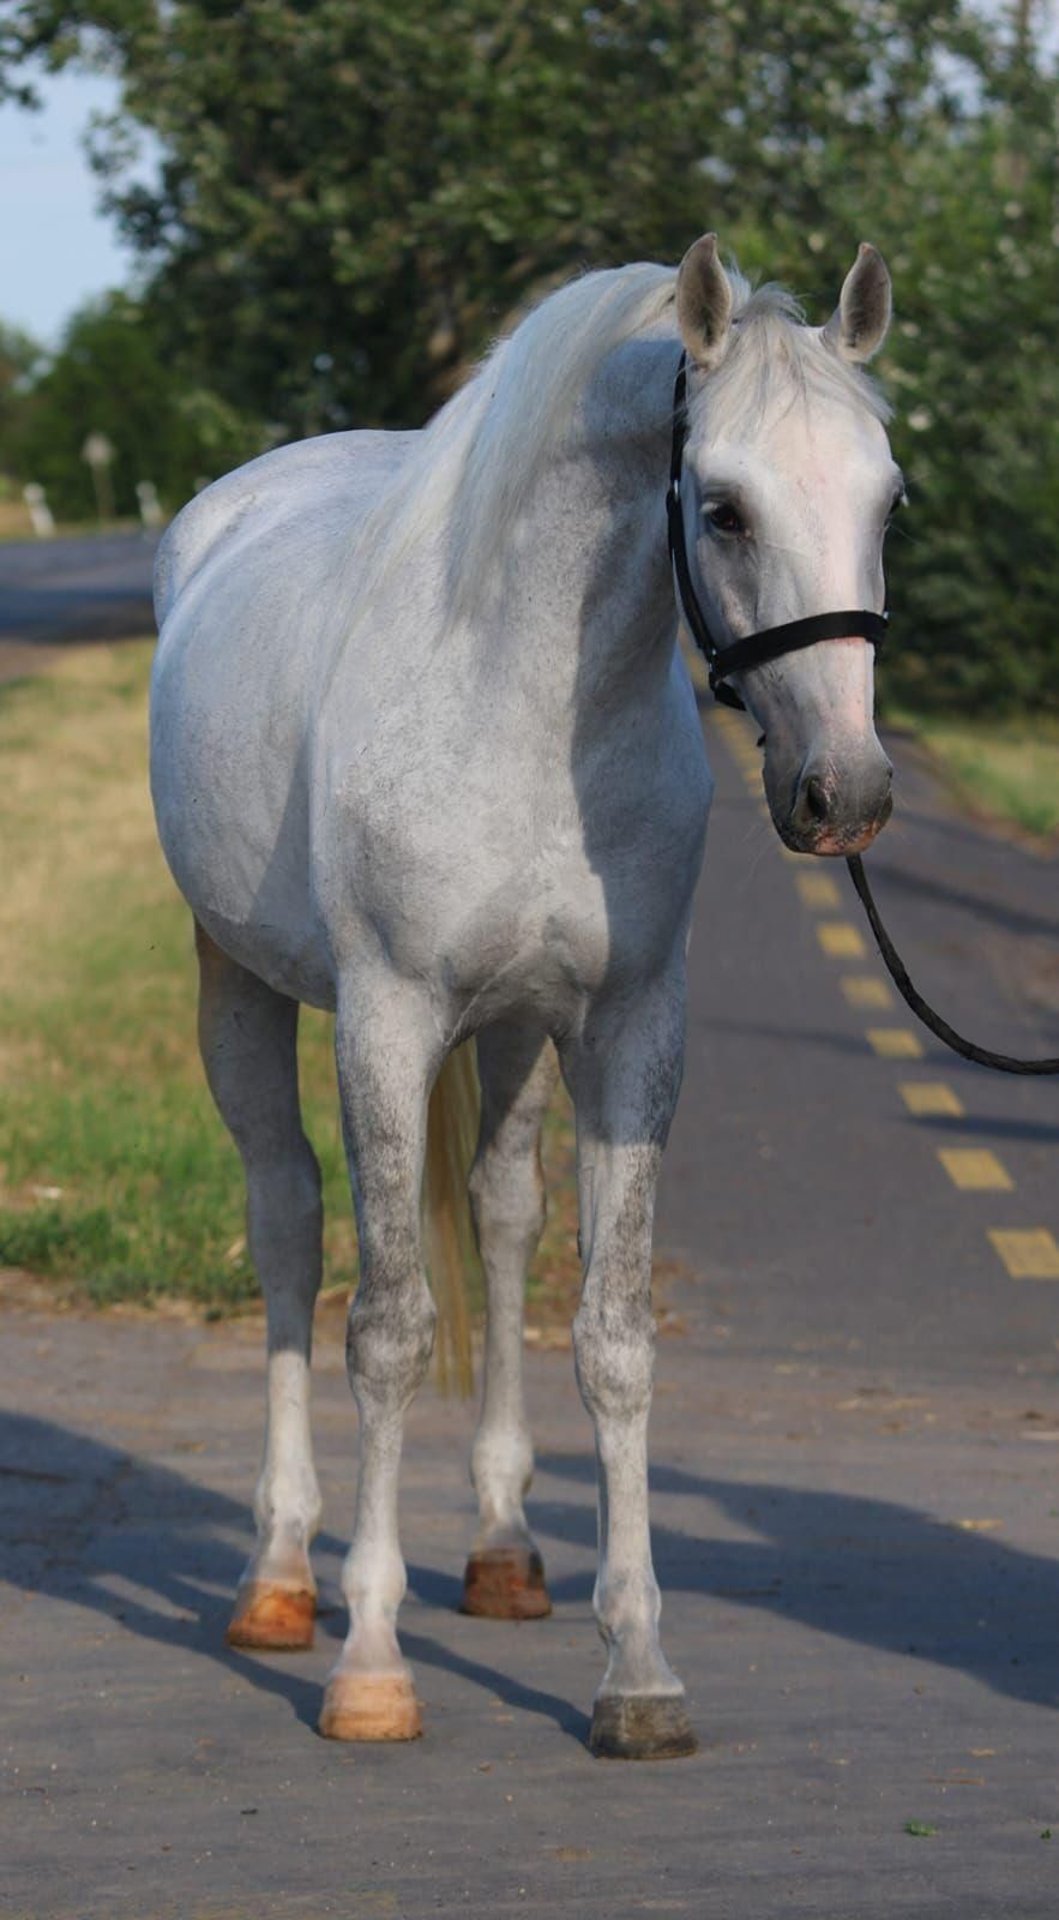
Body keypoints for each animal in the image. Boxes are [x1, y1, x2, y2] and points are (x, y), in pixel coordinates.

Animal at [149, 233, 900, 1760]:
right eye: (721, 508)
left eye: (886, 497)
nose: (842, 791)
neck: (526, 706)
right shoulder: (385, 1021)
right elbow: (384, 1330)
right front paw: (371, 1667)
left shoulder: (631, 1029)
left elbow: (610, 1337)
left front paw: (639, 1674)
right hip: (241, 988)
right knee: (286, 1219)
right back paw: (277, 1577)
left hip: (511, 1039)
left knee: (499, 1220)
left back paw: (500, 1550)